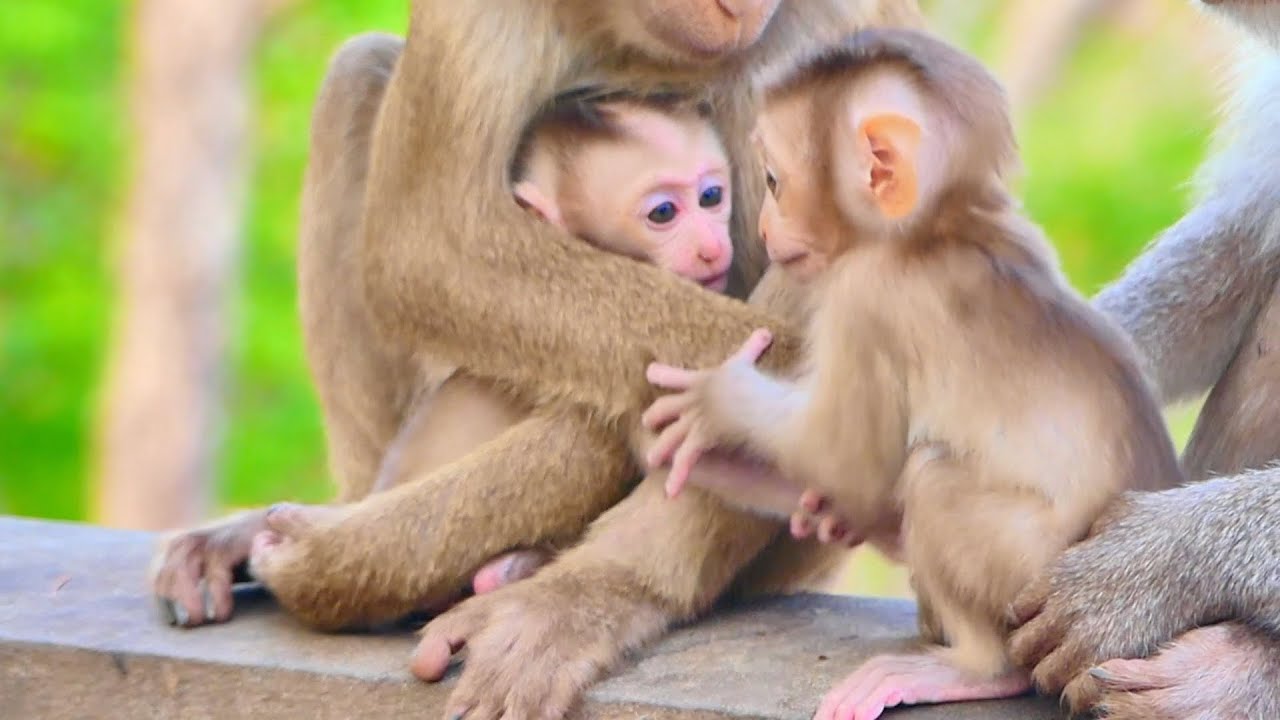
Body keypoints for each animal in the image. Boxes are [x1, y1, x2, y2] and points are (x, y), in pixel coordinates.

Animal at [639, 28, 1184, 720]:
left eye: (773, 181)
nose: (763, 226)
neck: (942, 225)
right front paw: (819, 506)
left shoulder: (866, 294)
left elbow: (848, 460)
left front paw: (719, 400)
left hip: (1037, 581)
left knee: (931, 479)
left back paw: (976, 669)